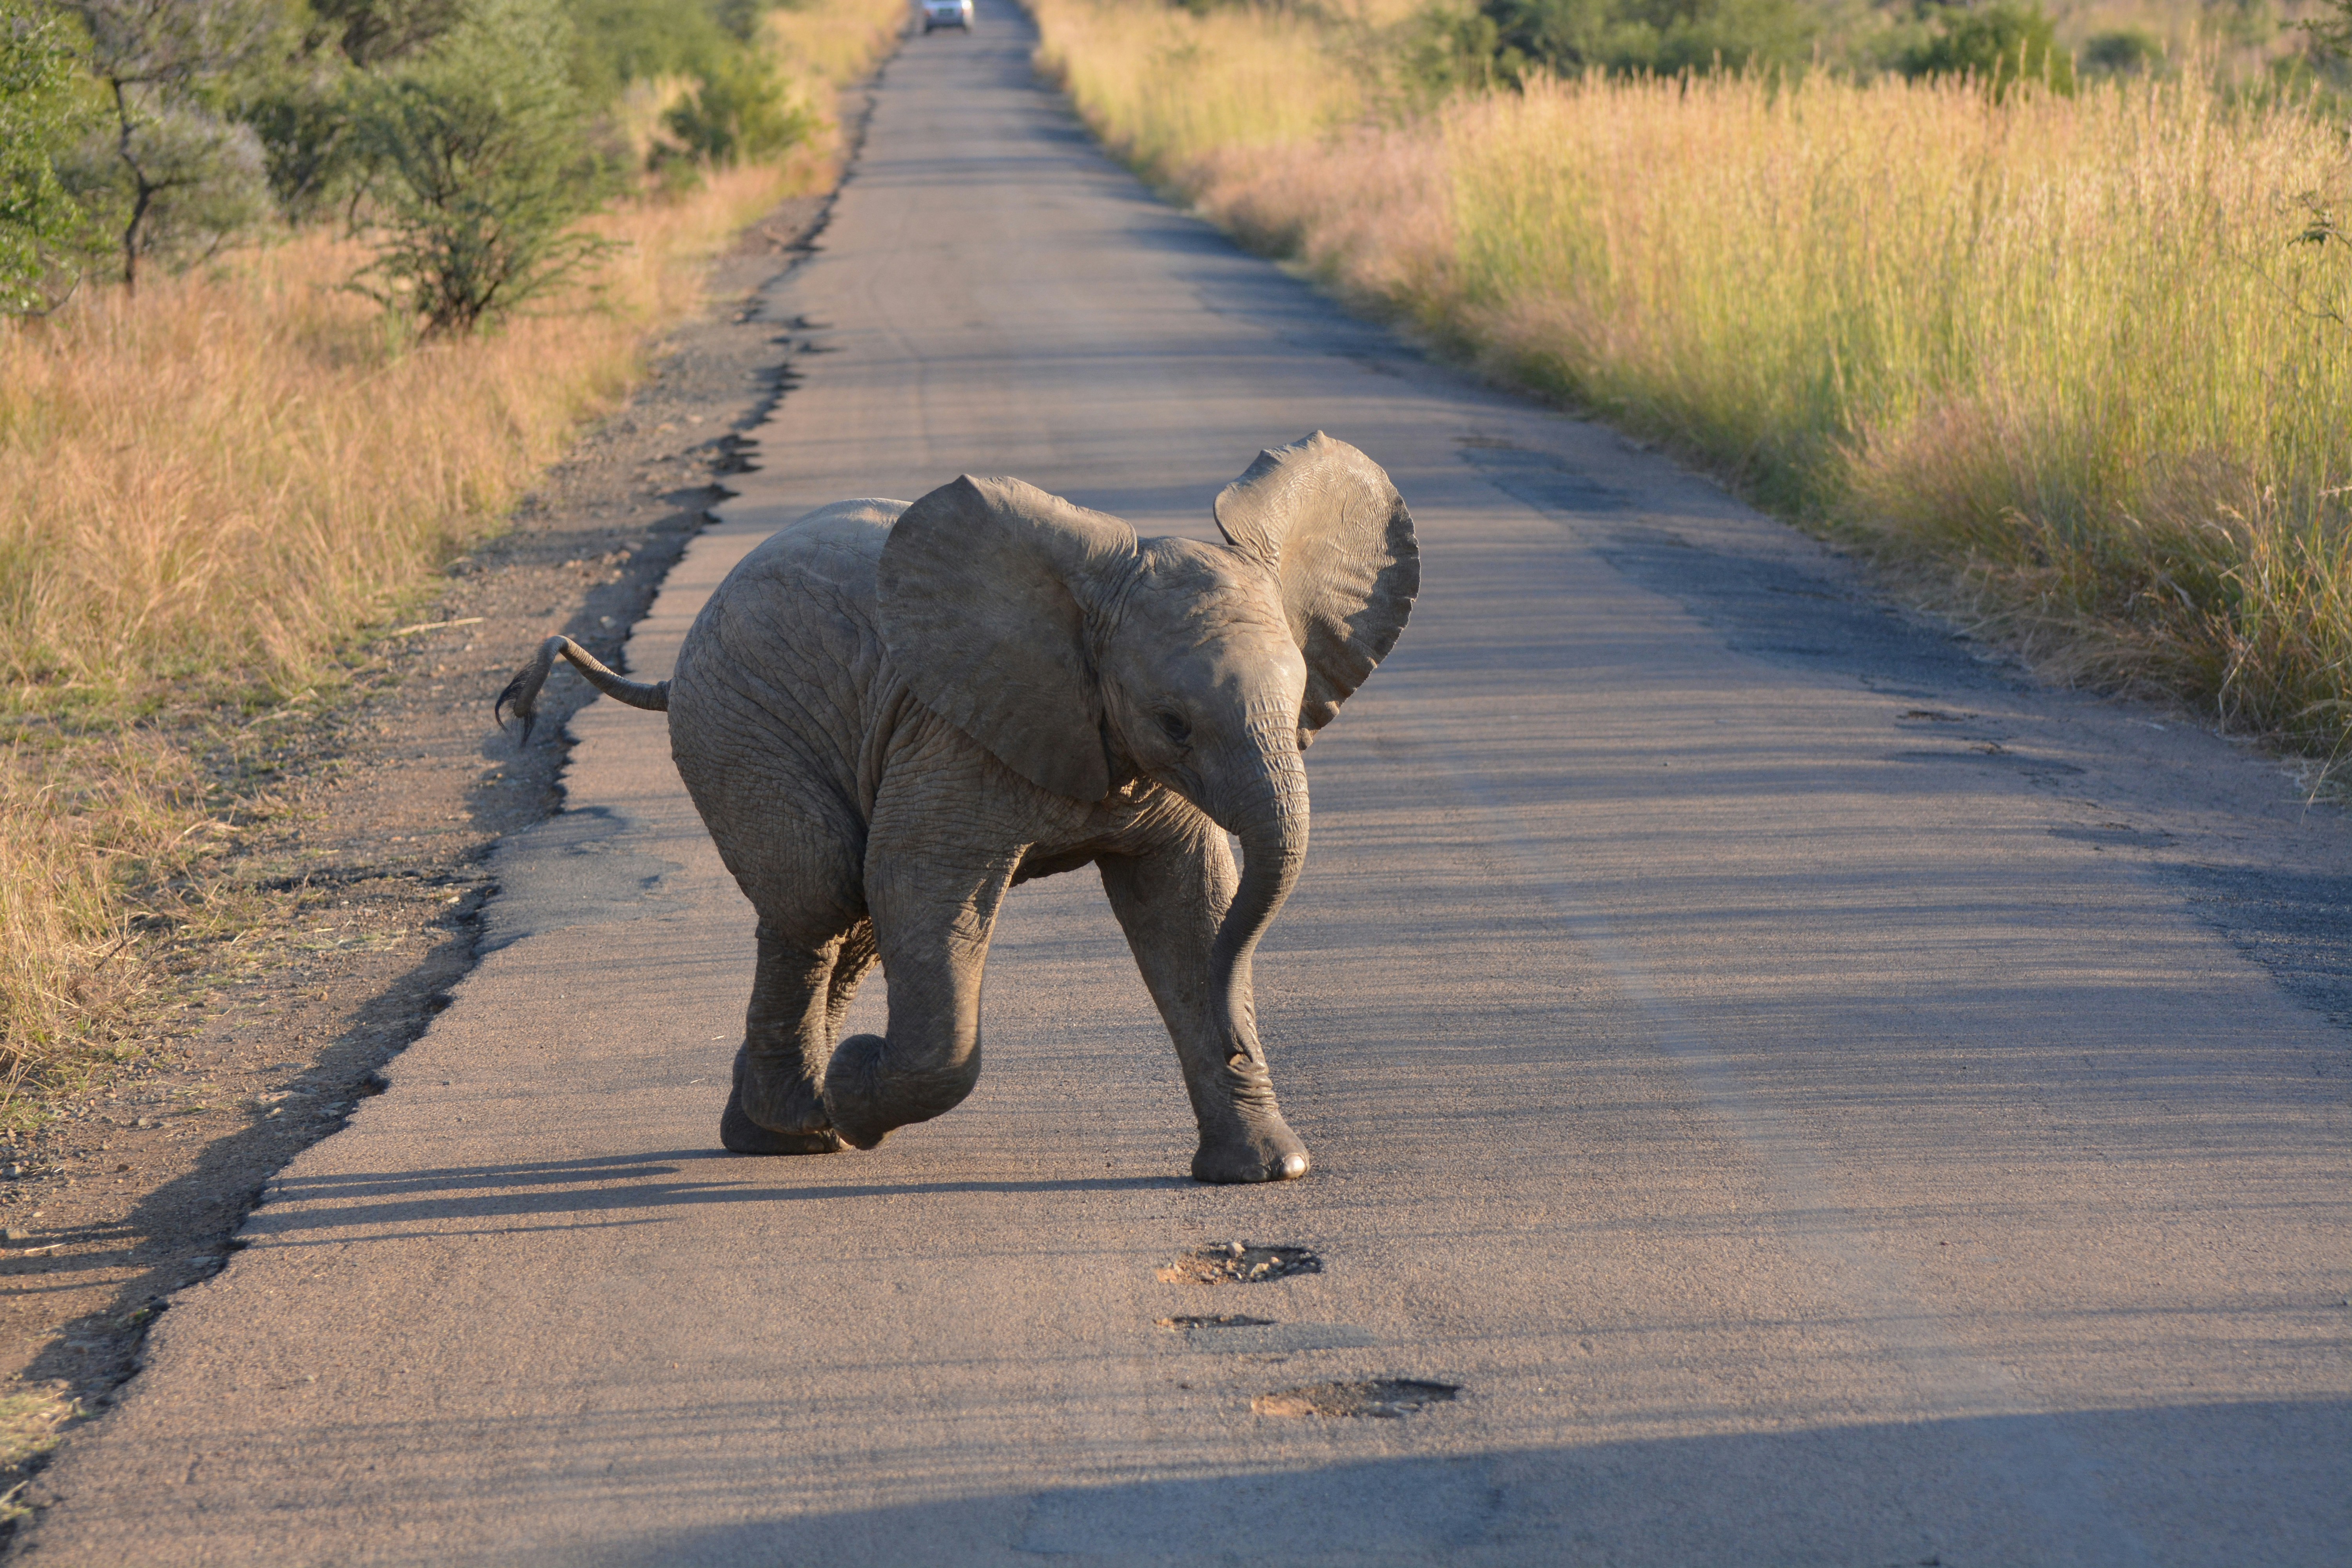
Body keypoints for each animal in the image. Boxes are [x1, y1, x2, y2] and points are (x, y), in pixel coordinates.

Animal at [496, 432, 1418, 1183]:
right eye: (1174, 723)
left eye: (1298, 706)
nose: (1236, 1038)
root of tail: (680, 653)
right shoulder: (951, 736)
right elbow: (927, 890)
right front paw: (860, 1083)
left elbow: (1188, 907)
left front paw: (1264, 1171)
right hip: (739, 717)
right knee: (821, 892)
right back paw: (805, 1124)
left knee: (853, 919)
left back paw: (790, 1120)